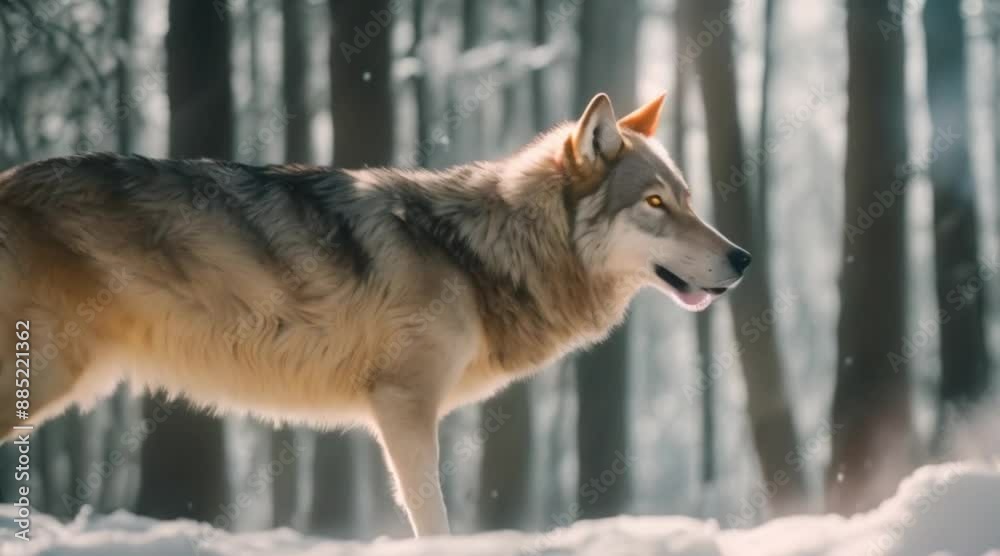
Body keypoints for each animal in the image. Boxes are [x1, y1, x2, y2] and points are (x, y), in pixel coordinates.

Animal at [0, 93, 750, 536]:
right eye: (654, 204)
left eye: (687, 198)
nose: (743, 258)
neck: (477, 251)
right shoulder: (403, 405)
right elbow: (434, 520)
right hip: (42, 377)